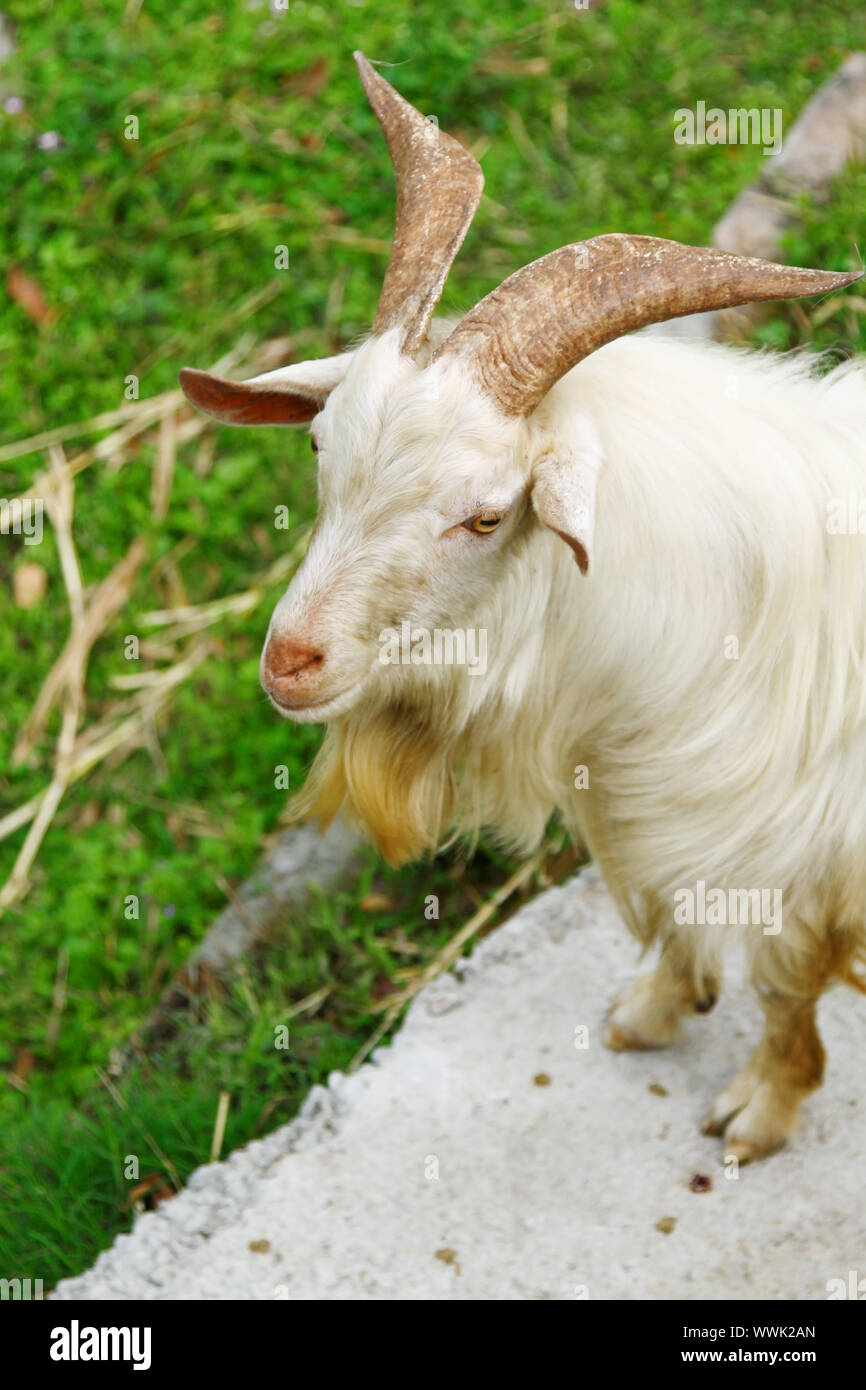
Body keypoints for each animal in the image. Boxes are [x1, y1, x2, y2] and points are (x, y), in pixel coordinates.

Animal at [180, 54, 865, 1164]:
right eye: (321, 448)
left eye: (487, 515)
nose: (291, 661)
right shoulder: (652, 805)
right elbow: (669, 911)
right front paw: (655, 1010)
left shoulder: (800, 848)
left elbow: (782, 981)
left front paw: (760, 1109)